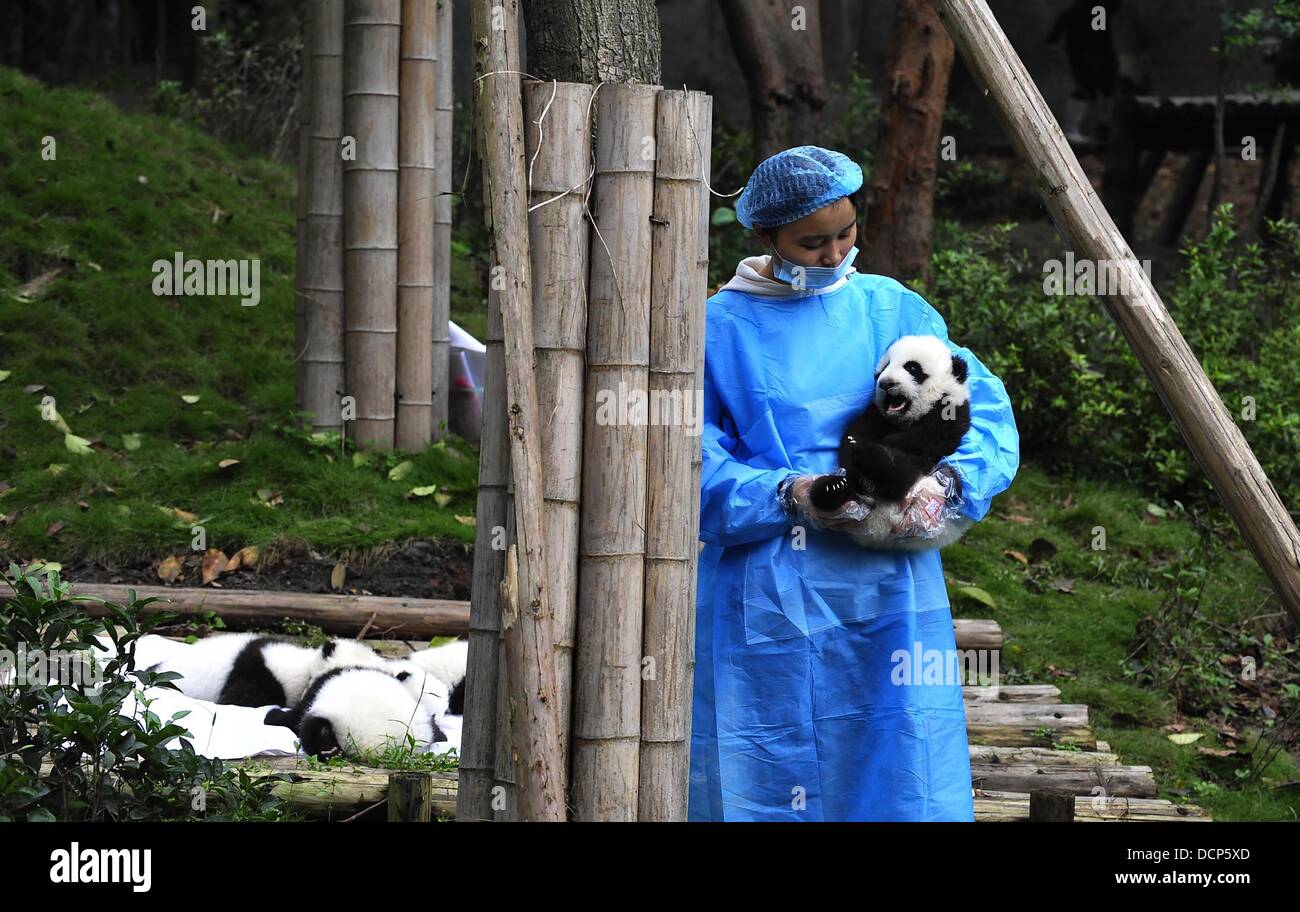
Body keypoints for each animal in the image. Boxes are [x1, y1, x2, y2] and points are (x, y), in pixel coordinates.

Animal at [809, 334, 972, 549]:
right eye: (883, 368)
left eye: (912, 368)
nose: (886, 383)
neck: (905, 420)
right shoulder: (876, 416)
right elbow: (853, 437)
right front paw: (854, 449)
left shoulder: (949, 417)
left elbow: (920, 443)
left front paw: (871, 452)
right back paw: (832, 488)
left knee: (909, 472)